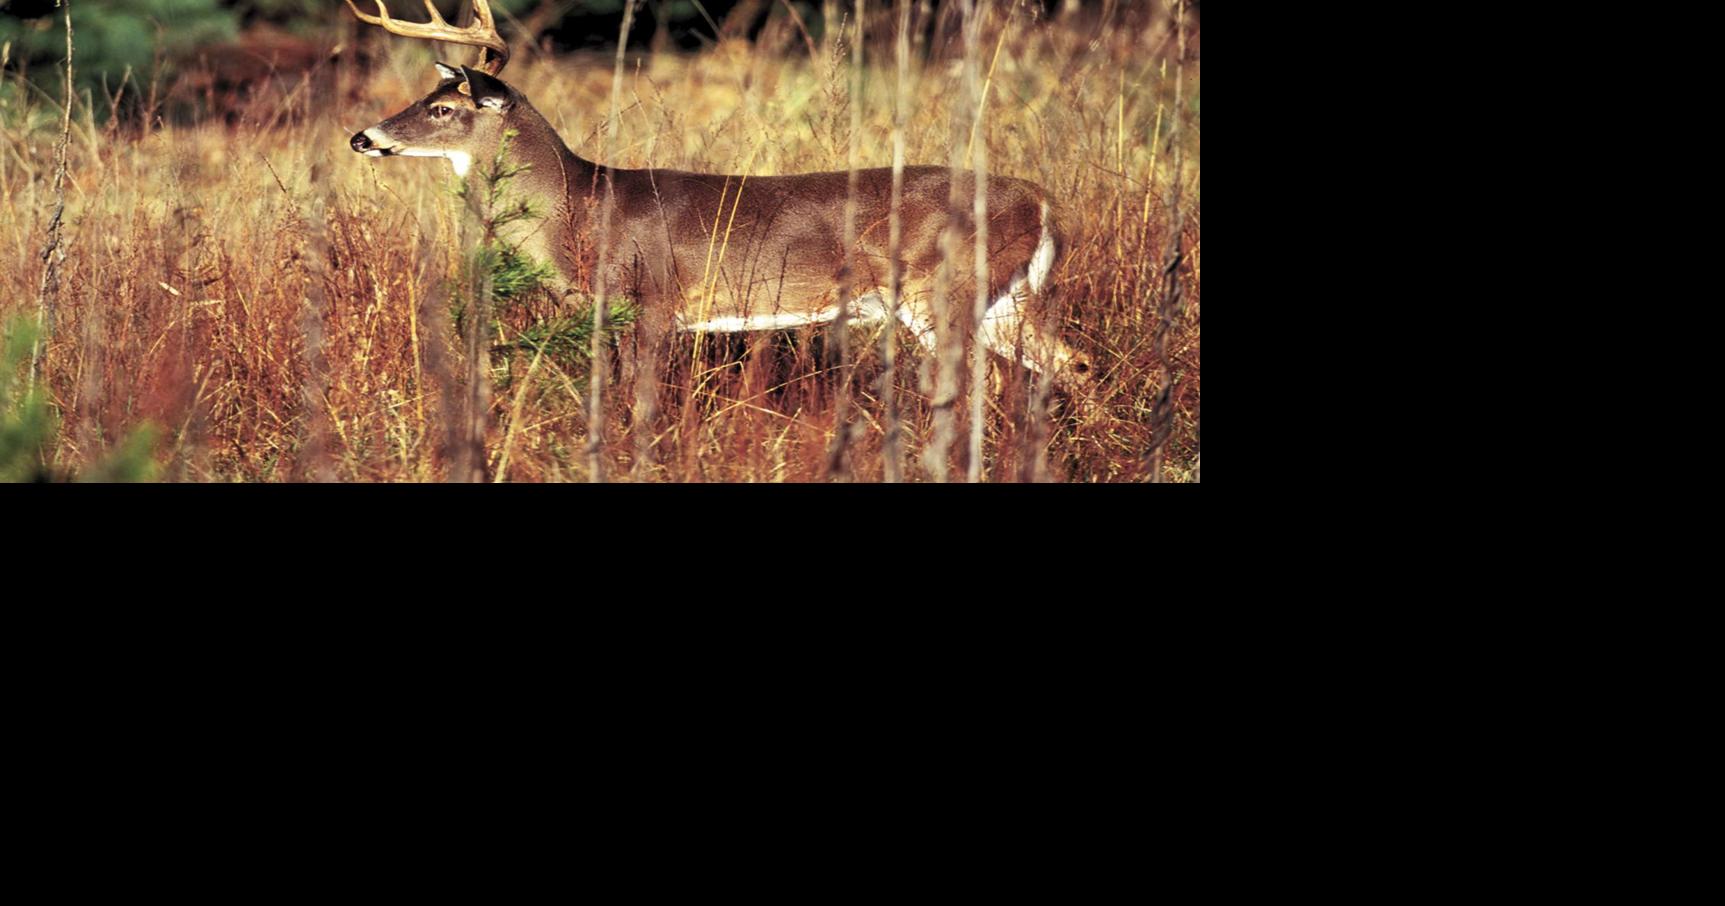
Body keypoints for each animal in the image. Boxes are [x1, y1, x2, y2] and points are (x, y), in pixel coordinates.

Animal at [345, 0, 1096, 436]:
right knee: (1070, 363)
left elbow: (639, 402)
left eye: (444, 107)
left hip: (942, 290)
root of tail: (1042, 200)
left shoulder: (650, 299)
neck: (580, 209)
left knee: (979, 383)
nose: (363, 138)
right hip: (1004, 295)